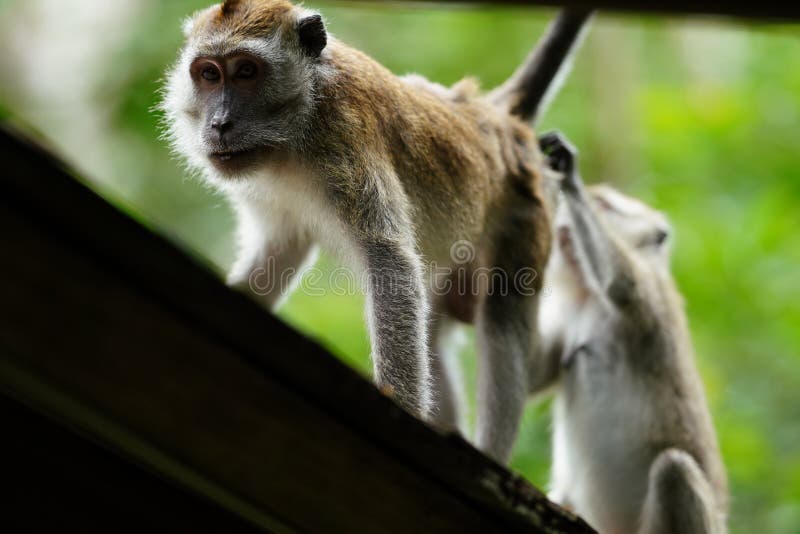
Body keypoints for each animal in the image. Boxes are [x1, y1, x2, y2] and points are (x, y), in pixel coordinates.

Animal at [161, 0, 591, 463]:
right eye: (208, 74)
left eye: (245, 71)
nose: (219, 123)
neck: (294, 130)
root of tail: (494, 119)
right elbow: (278, 254)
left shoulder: (343, 141)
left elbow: (389, 262)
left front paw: (400, 406)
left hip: (526, 216)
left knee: (502, 323)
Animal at [534, 132, 728, 533]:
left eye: (603, 205)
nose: (563, 220)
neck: (589, 300)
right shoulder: (571, 316)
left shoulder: (653, 296)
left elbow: (621, 285)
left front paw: (568, 175)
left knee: (674, 469)